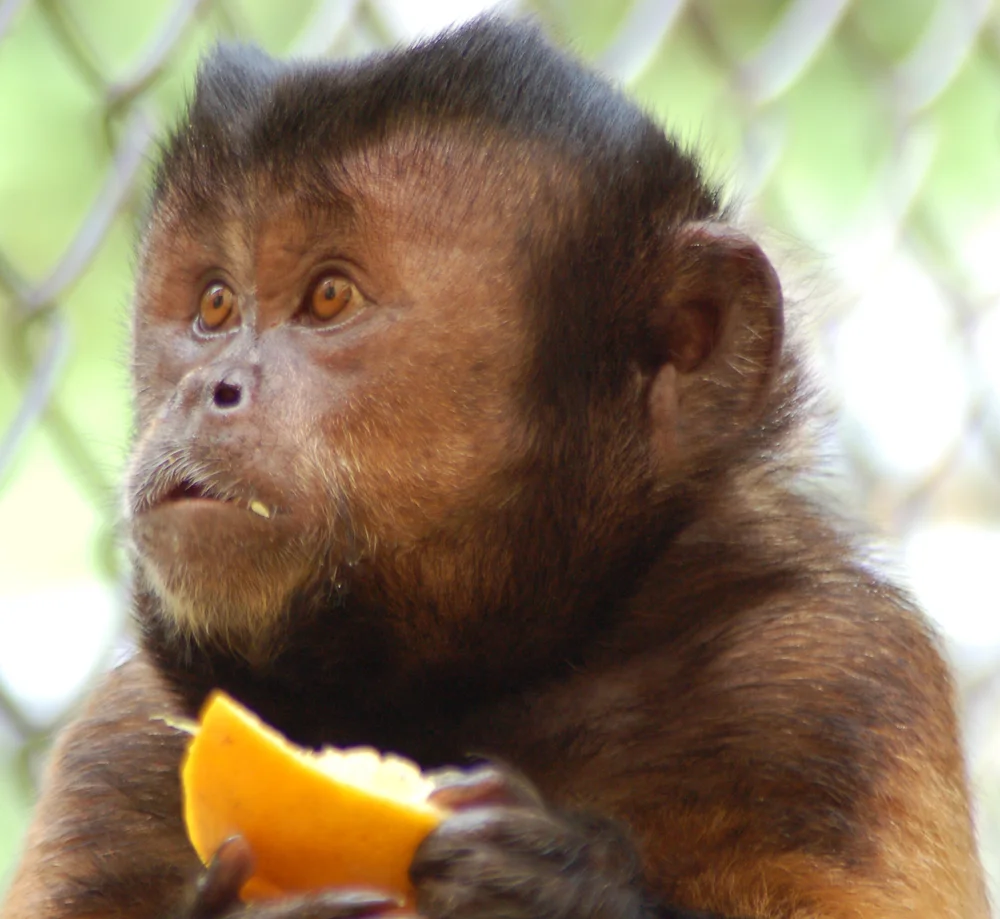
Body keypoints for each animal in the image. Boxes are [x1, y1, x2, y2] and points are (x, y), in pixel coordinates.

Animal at [0, 16, 990, 919]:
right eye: (213, 305)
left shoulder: (832, 674)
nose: (210, 387)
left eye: (329, 297)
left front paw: (568, 888)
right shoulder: (118, 747)